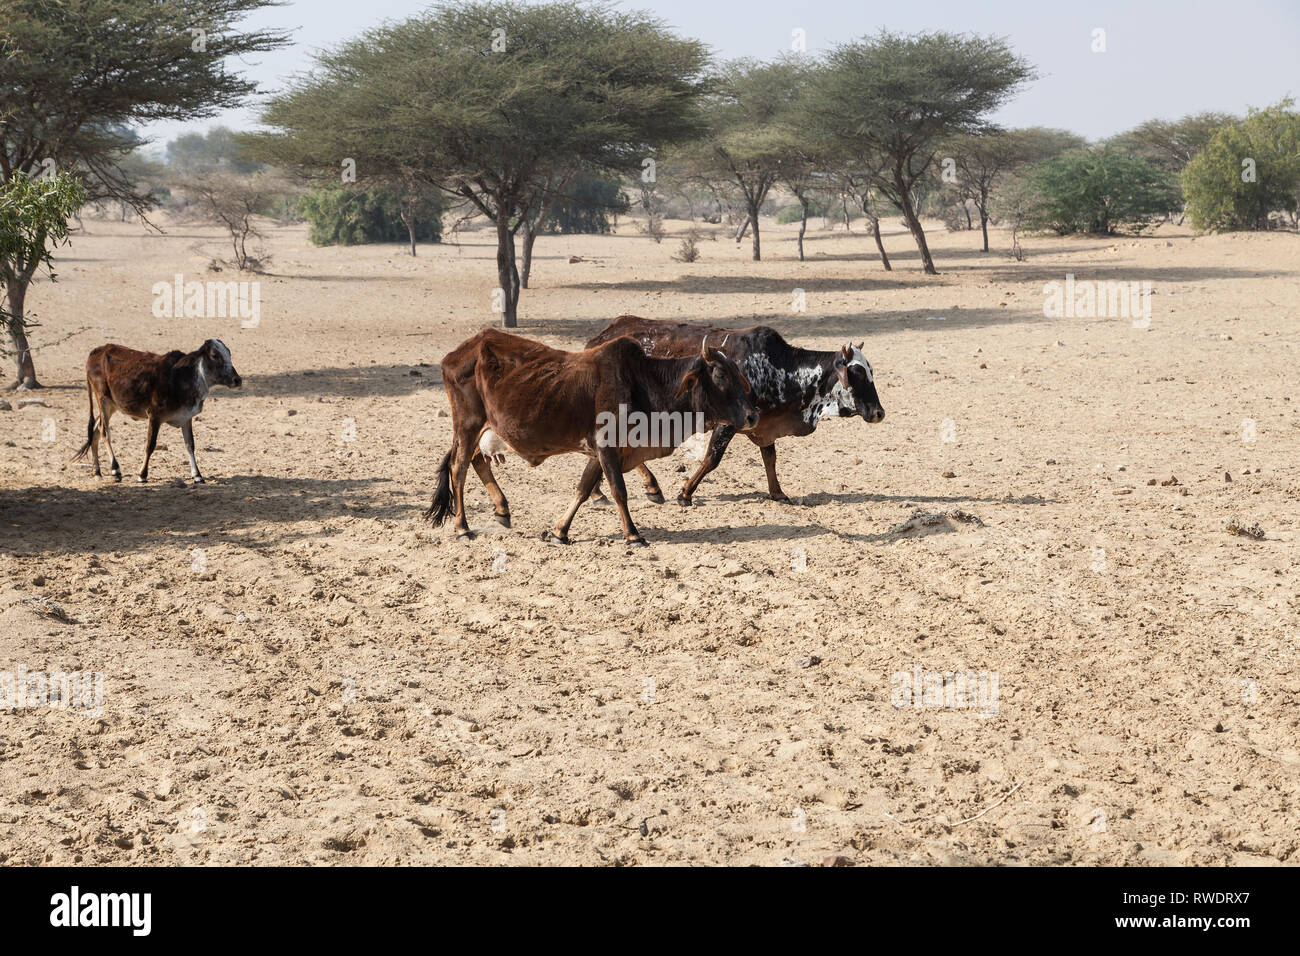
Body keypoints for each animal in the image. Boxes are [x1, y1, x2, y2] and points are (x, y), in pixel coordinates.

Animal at [72, 339, 242, 484]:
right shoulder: (154, 416)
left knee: (94, 431)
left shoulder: (186, 418)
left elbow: (190, 444)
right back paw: (115, 469)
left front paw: (197, 475)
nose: (237, 380)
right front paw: (142, 475)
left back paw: (97, 471)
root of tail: (97, 351)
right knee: (104, 431)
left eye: (228, 353)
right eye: (215, 355)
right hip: (103, 400)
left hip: (113, 405)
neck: (182, 377)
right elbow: (150, 445)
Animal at [426, 328, 758, 546]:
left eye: (737, 371)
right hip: (468, 424)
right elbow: (618, 490)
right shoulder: (607, 447)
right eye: (720, 375)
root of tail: (459, 352)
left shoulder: (603, 452)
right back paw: (462, 527)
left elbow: (584, 488)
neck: (644, 384)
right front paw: (632, 534)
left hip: (481, 428)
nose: (752, 416)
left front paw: (560, 532)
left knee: (477, 461)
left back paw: (501, 509)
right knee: (458, 468)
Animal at [585, 316, 883, 505]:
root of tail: (600, 337)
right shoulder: (728, 423)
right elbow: (711, 459)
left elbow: (770, 458)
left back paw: (609, 491)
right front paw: (685, 493)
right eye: (857, 373)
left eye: (870, 371)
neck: (779, 367)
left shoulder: (763, 424)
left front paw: (778, 493)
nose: (879, 412)